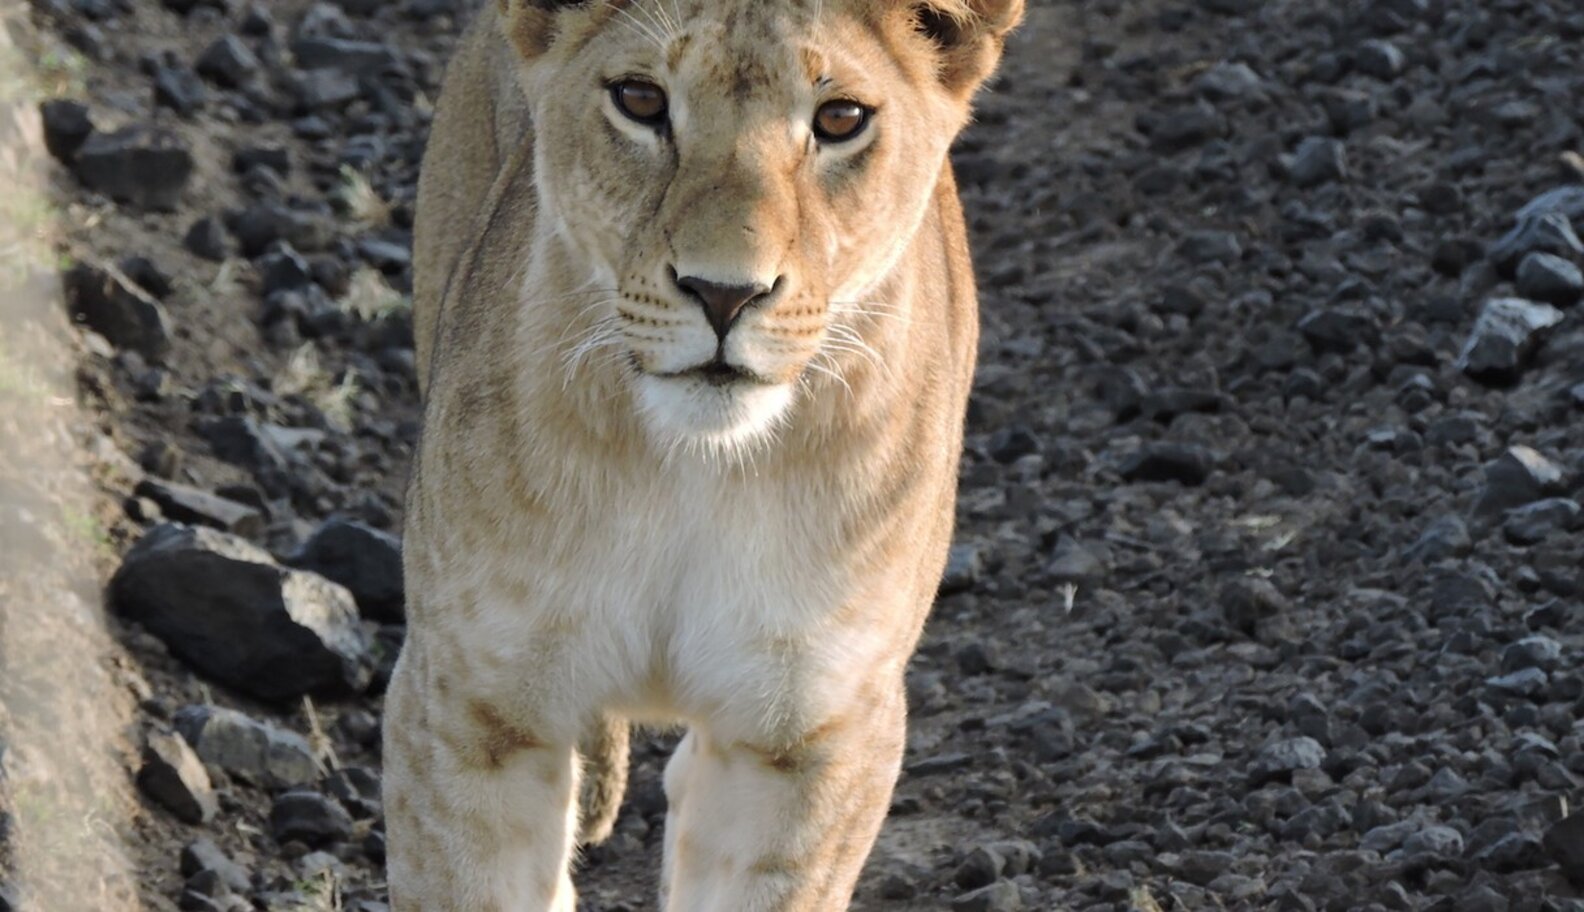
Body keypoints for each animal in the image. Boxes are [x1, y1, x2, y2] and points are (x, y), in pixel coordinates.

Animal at [384, 1, 1023, 909]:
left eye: (840, 119)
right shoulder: (468, 700)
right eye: (641, 101)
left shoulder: (814, 735)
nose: (726, 294)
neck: (694, 469)